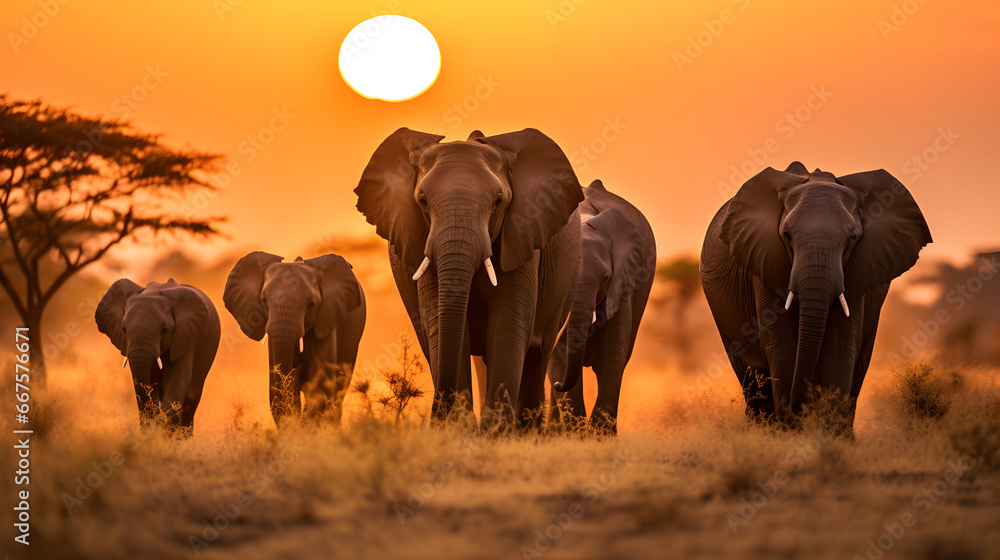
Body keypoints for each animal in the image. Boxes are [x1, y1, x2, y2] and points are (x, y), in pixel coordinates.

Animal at [95, 278, 221, 430]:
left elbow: (177, 384)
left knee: (191, 402)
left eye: (164, 330)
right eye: (124, 329)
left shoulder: (186, 337)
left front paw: (164, 426)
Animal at [355, 128, 584, 426]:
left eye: (498, 202)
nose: (435, 417)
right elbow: (441, 322)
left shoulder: (523, 235)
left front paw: (492, 430)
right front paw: (458, 429)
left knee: (537, 355)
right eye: (422, 201)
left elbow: (508, 324)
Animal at [547, 180, 657, 432]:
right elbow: (559, 353)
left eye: (605, 277)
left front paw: (599, 434)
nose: (558, 384)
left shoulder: (623, 282)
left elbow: (611, 357)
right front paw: (576, 433)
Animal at [700, 162, 932, 427]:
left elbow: (842, 345)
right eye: (787, 236)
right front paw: (791, 430)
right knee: (750, 377)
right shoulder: (764, 259)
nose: (798, 409)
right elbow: (781, 346)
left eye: (852, 238)